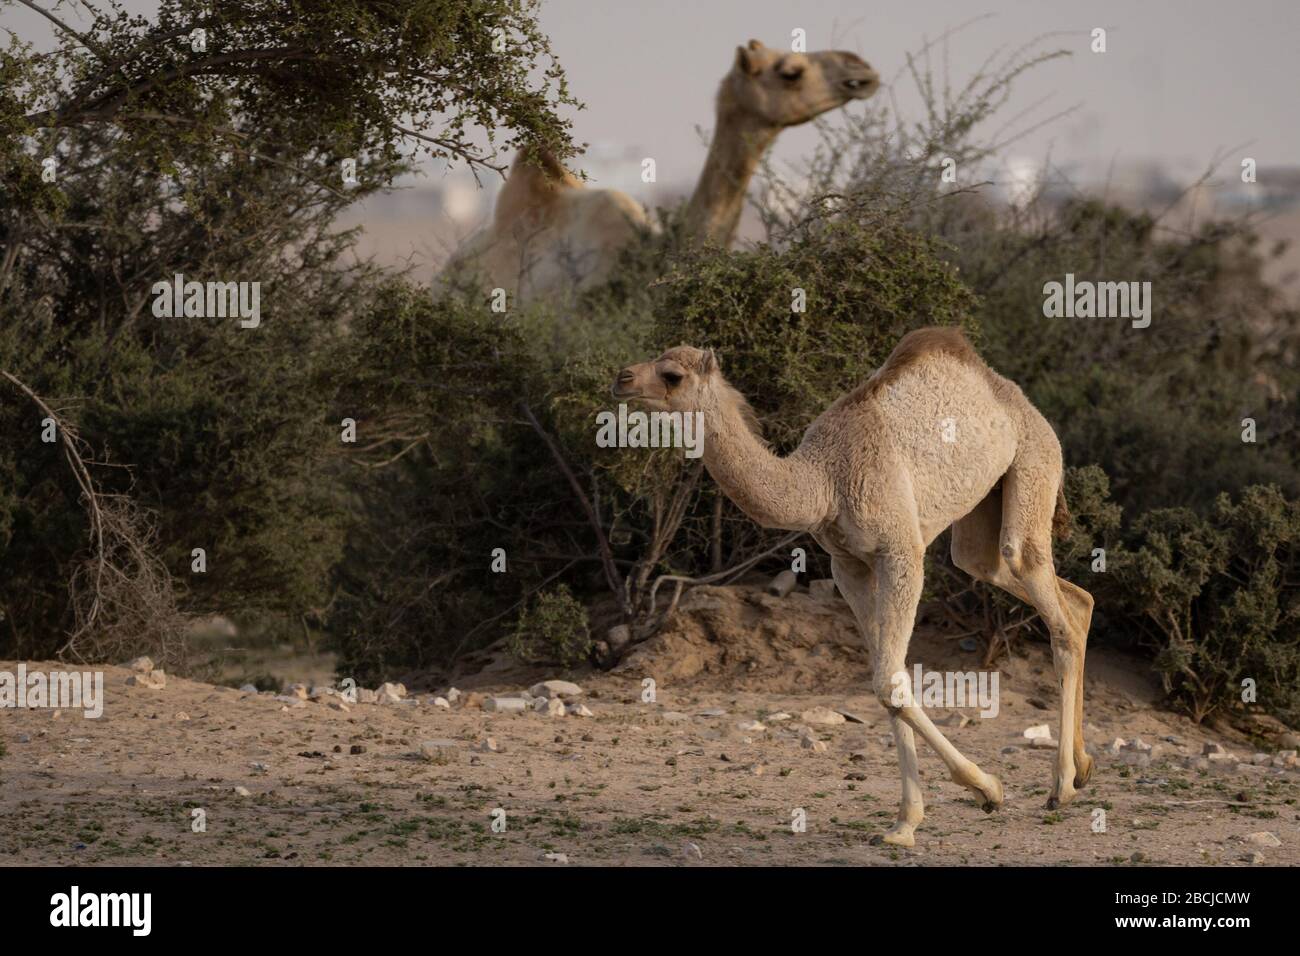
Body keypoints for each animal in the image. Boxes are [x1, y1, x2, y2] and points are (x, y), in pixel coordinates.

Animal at [611, 327, 1094, 847]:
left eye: (671, 374)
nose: (622, 379)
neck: (823, 480)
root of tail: (1012, 393)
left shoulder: (900, 551)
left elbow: (889, 680)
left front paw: (987, 789)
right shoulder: (849, 566)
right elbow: (889, 680)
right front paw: (906, 823)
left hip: (1035, 460)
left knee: (1038, 584)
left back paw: (1062, 786)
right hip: (981, 528)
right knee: (1061, 594)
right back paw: (1084, 766)